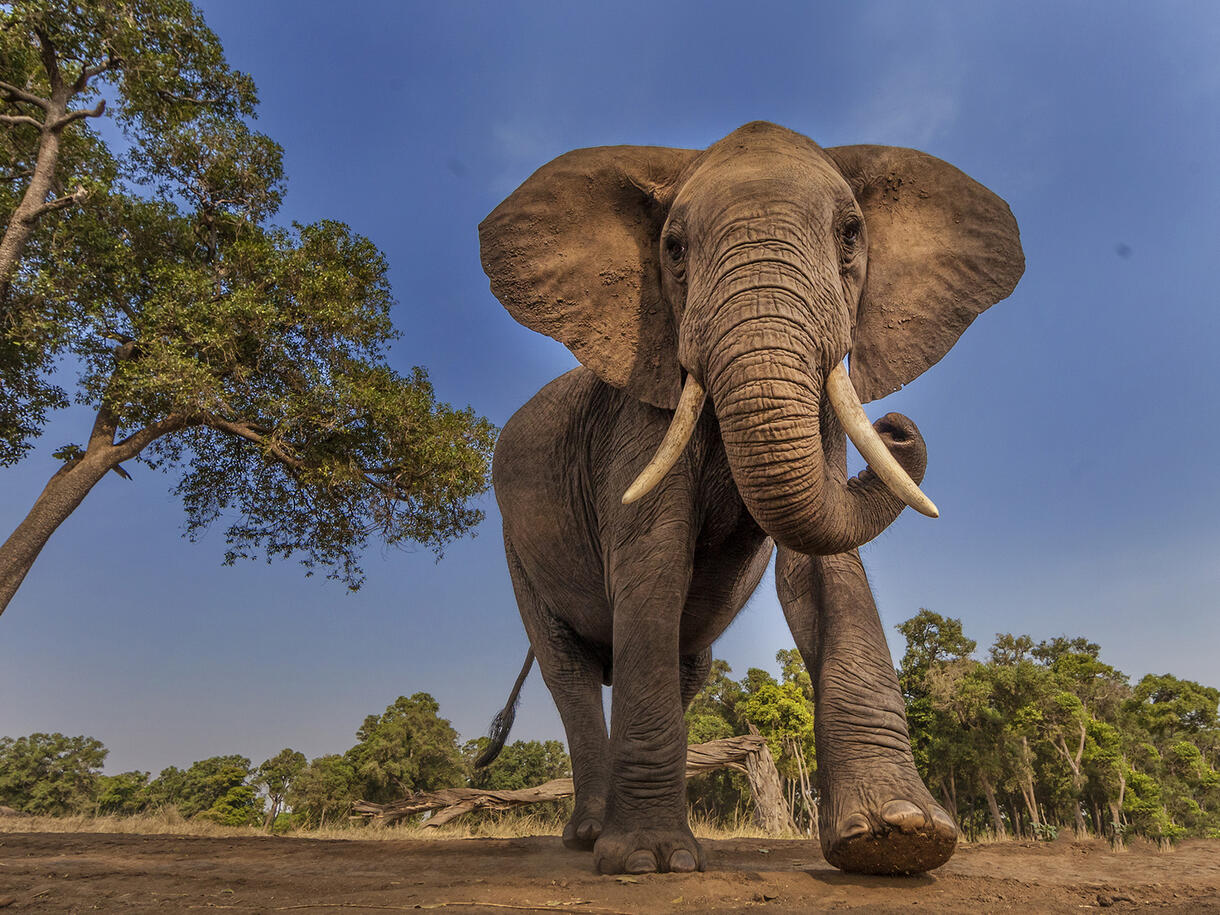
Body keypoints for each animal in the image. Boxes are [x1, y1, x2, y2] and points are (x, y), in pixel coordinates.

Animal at [476, 121, 1023, 876]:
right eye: (674, 249)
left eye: (850, 234)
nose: (897, 426)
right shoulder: (638, 415)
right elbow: (653, 565)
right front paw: (648, 862)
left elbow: (823, 567)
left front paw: (900, 838)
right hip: (513, 544)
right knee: (569, 668)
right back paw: (591, 837)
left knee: (685, 663)